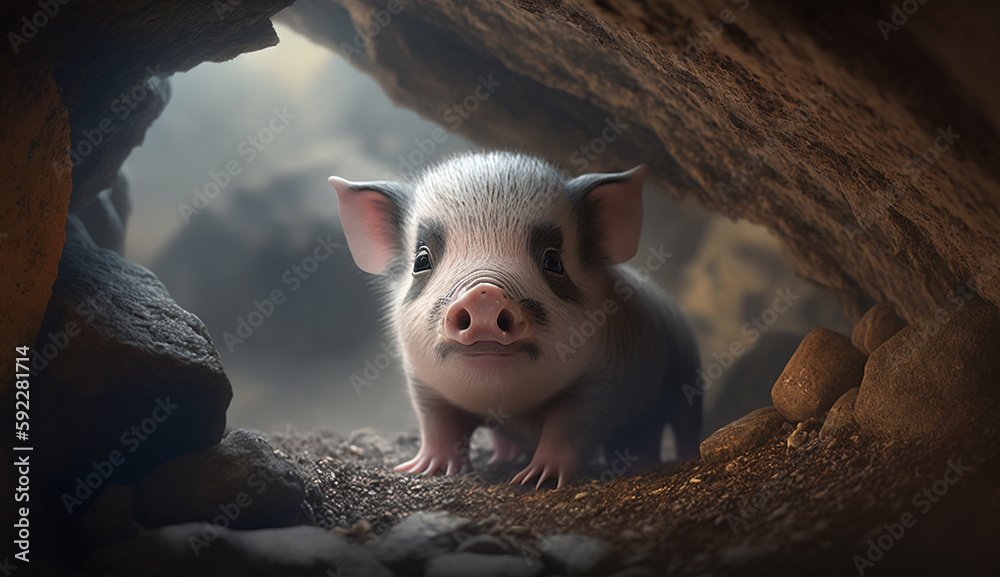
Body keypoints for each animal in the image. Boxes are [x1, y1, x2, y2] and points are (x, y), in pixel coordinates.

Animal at [329, 151, 700, 489]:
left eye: (553, 261)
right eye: (422, 259)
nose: (483, 295)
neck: (510, 409)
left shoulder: (602, 380)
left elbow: (572, 429)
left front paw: (535, 479)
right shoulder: (422, 384)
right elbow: (437, 425)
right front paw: (420, 470)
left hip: (688, 371)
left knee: (677, 424)